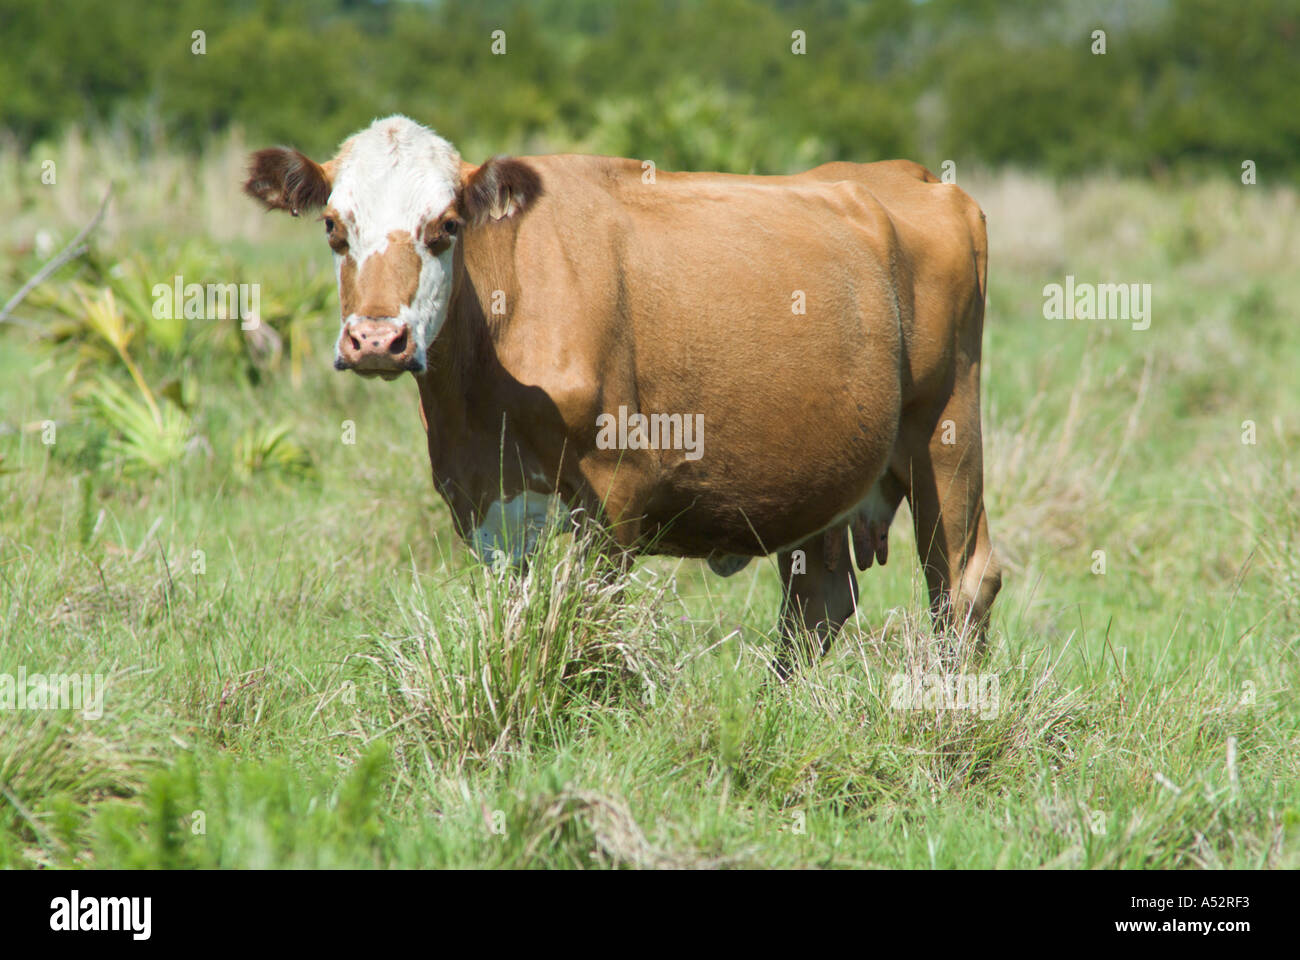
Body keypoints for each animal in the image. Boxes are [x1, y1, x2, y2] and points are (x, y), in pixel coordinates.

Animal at [244, 115, 1001, 671]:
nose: (377, 340)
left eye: (447, 226)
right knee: (819, 601)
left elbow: (585, 620)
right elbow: (518, 618)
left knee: (961, 583)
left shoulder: (616, 494)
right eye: (334, 227)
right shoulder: (483, 498)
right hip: (823, 469)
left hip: (947, 434)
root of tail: (914, 179)